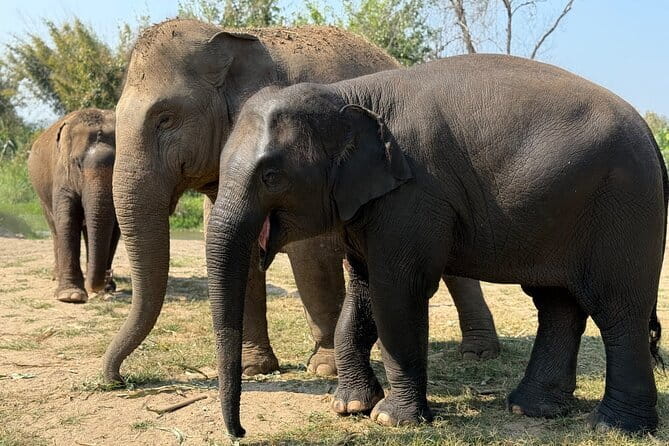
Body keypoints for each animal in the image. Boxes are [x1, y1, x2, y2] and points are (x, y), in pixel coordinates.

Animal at [28, 108, 119, 303]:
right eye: (77, 163)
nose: (107, 278)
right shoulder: (62, 174)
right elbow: (67, 220)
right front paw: (71, 296)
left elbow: (116, 227)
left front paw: (106, 288)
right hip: (41, 196)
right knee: (54, 228)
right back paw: (56, 276)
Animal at [108, 19, 499, 382]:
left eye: (165, 118)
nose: (119, 378)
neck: (239, 37)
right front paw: (254, 368)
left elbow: (312, 254)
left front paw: (325, 368)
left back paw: (478, 353)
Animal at [206, 54, 667, 437]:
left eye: (271, 176)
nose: (240, 431)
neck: (349, 94)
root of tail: (650, 133)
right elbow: (363, 293)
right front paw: (350, 406)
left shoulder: (414, 197)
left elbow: (397, 293)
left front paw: (391, 419)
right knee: (557, 304)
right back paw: (531, 409)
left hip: (625, 208)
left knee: (617, 309)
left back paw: (613, 427)